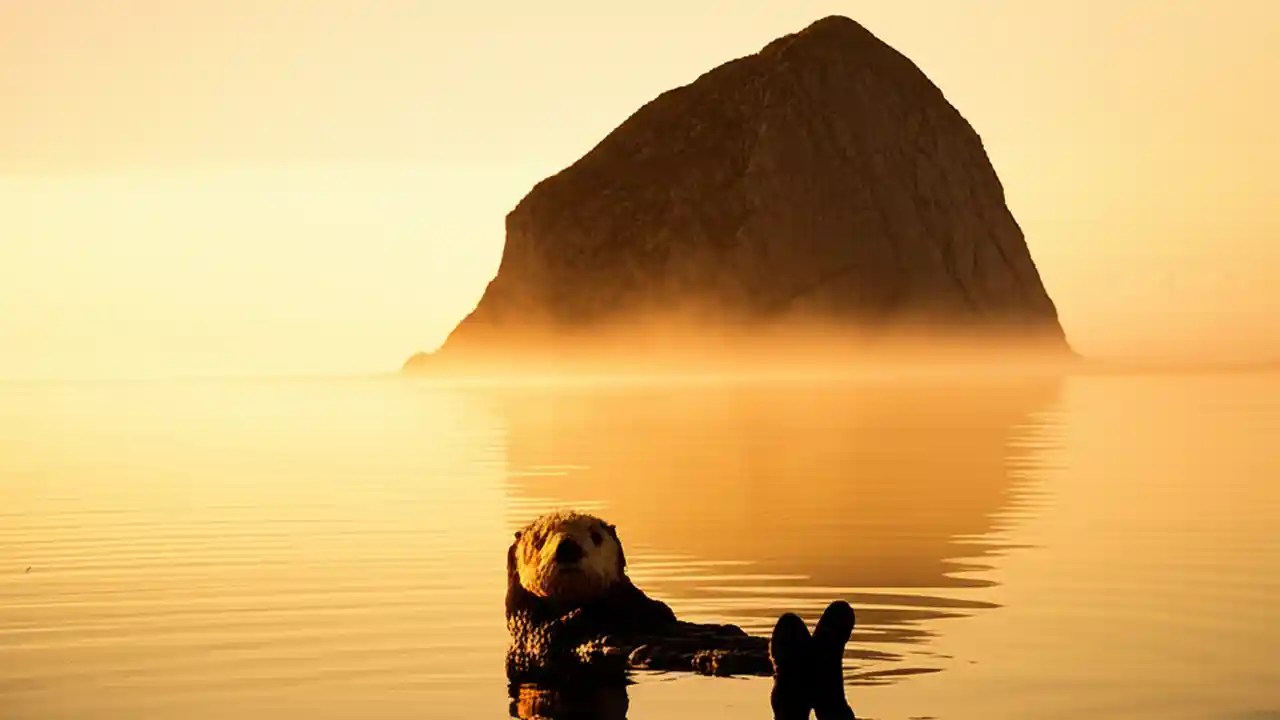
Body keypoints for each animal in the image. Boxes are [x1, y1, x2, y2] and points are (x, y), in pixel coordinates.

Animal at [505, 510, 856, 717]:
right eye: (540, 539)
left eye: (595, 536)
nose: (567, 546)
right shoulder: (536, 630)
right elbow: (566, 624)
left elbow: (655, 608)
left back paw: (835, 616)